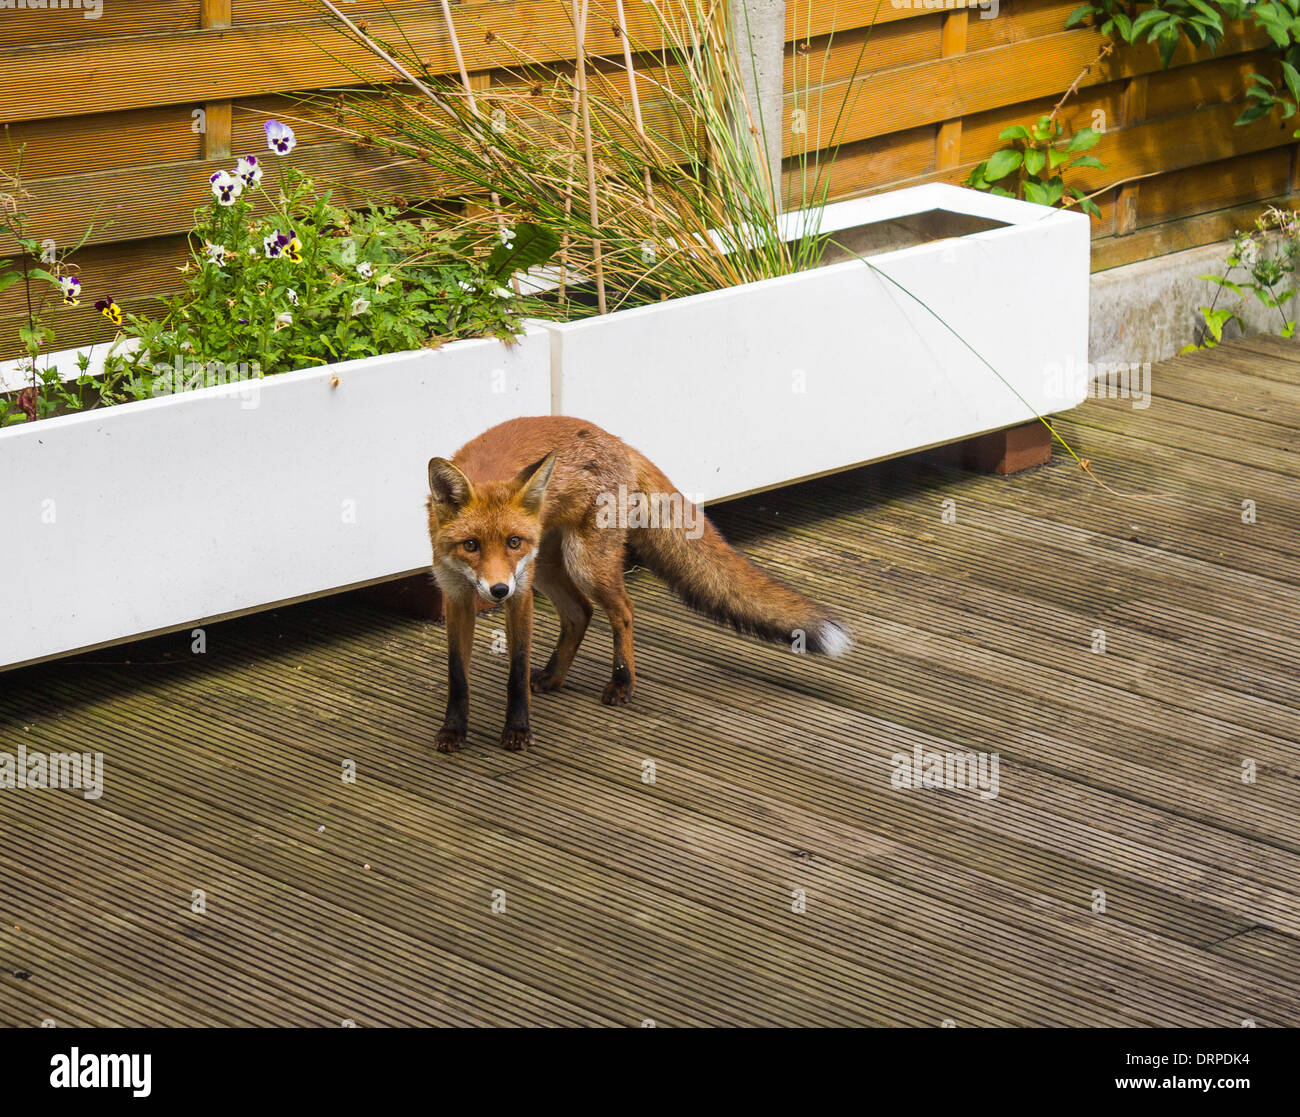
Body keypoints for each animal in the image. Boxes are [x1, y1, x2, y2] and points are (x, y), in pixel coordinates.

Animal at [425, 416, 851, 753]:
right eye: (471, 545)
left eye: (513, 542)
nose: (497, 591)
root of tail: (618, 441)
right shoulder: (456, 597)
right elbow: (457, 675)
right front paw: (453, 731)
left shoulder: (521, 594)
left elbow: (516, 672)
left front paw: (517, 730)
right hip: (549, 566)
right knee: (581, 612)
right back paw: (554, 677)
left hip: (582, 565)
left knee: (623, 611)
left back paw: (622, 683)